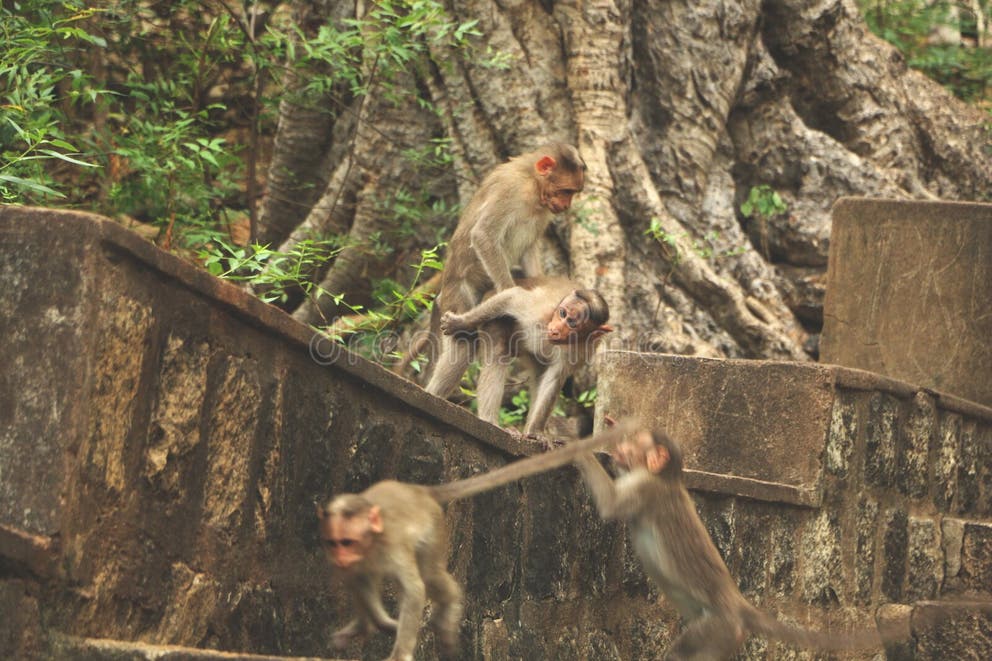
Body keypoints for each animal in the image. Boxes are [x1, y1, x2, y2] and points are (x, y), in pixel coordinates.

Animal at [316, 420, 636, 661]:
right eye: (334, 542)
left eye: (347, 542)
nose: (340, 557)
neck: (370, 543)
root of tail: (421, 491)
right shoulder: (359, 562)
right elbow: (358, 582)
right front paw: (374, 625)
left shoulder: (392, 544)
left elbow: (416, 590)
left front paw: (399, 653)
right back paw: (363, 626)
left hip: (434, 529)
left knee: (430, 574)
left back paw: (448, 605)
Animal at [423, 143, 586, 398]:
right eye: (565, 191)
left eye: (572, 192)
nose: (566, 205)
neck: (532, 183)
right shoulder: (510, 188)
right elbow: (484, 235)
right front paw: (508, 292)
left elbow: (529, 249)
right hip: (458, 291)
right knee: (464, 339)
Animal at [437, 276, 612, 437]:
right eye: (562, 313)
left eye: (572, 323)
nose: (555, 329)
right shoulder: (540, 312)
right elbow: (513, 297)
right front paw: (460, 322)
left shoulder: (583, 349)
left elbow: (555, 377)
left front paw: (536, 432)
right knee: (491, 348)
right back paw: (489, 420)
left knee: (539, 375)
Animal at [575, 428, 884, 660]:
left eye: (632, 443)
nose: (619, 446)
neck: (667, 478)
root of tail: (737, 604)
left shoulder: (646, 489)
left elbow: (610, 505)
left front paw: (570, 439)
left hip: (715, 630)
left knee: (679, 655)